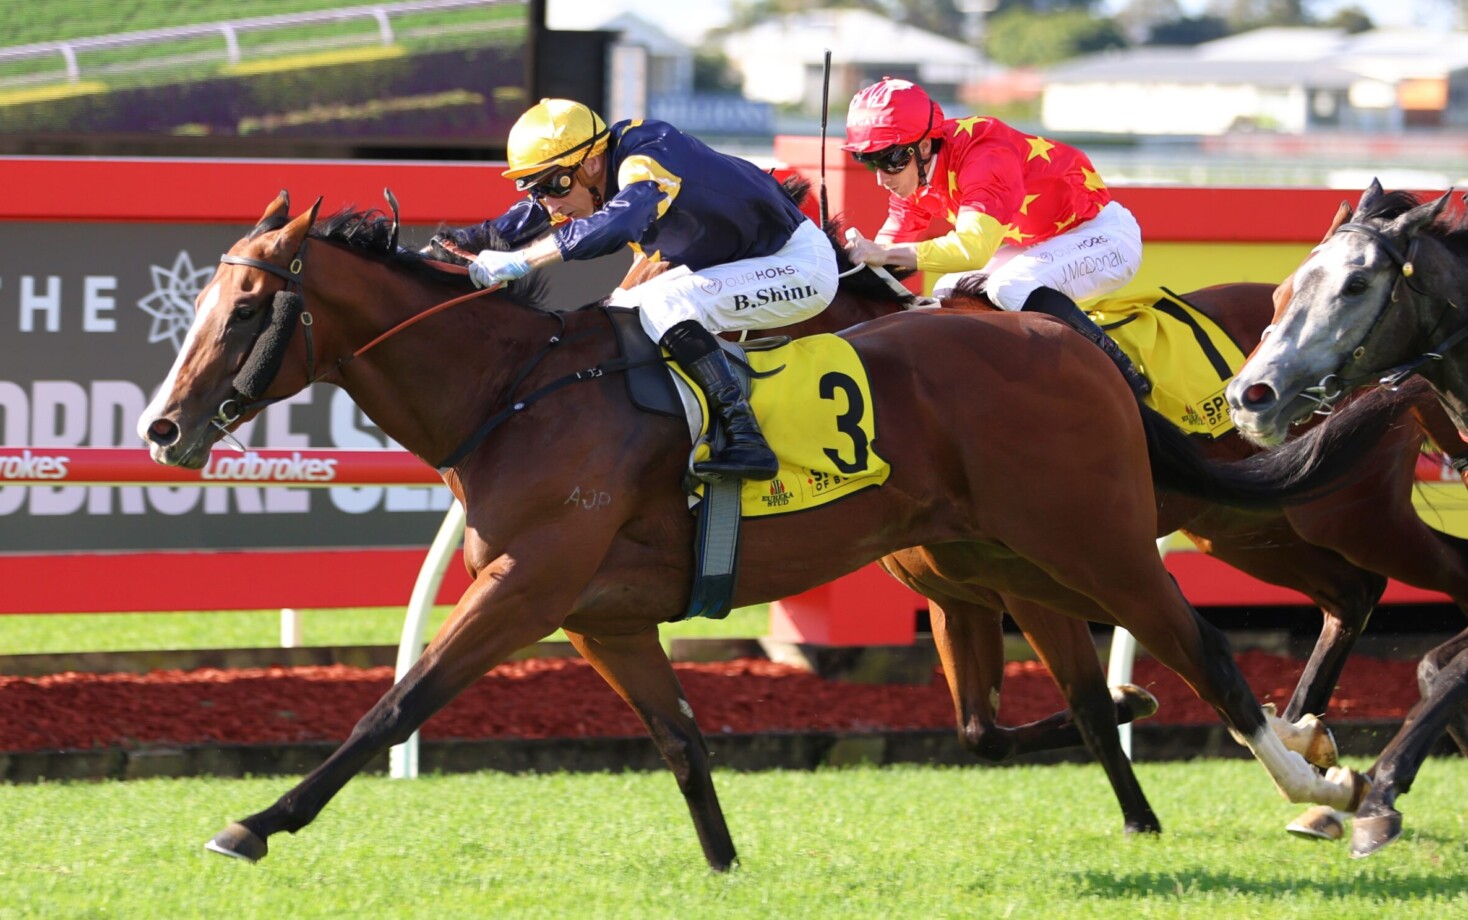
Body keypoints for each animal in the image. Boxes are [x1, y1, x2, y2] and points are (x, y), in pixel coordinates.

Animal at [140, 191, 1394, 870]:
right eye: (196, 301)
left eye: (246, 310)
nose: (161, 427)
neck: (517, 389)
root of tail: (1061, 334)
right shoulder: (601, 616)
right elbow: (684, 741)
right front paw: (726, 861)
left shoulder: (527, 585)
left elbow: (396, 702)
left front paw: (255, 822)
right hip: (998, 553)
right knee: (1101, 683)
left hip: (1102, 540)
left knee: (1217, 646)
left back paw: (1328, 783)